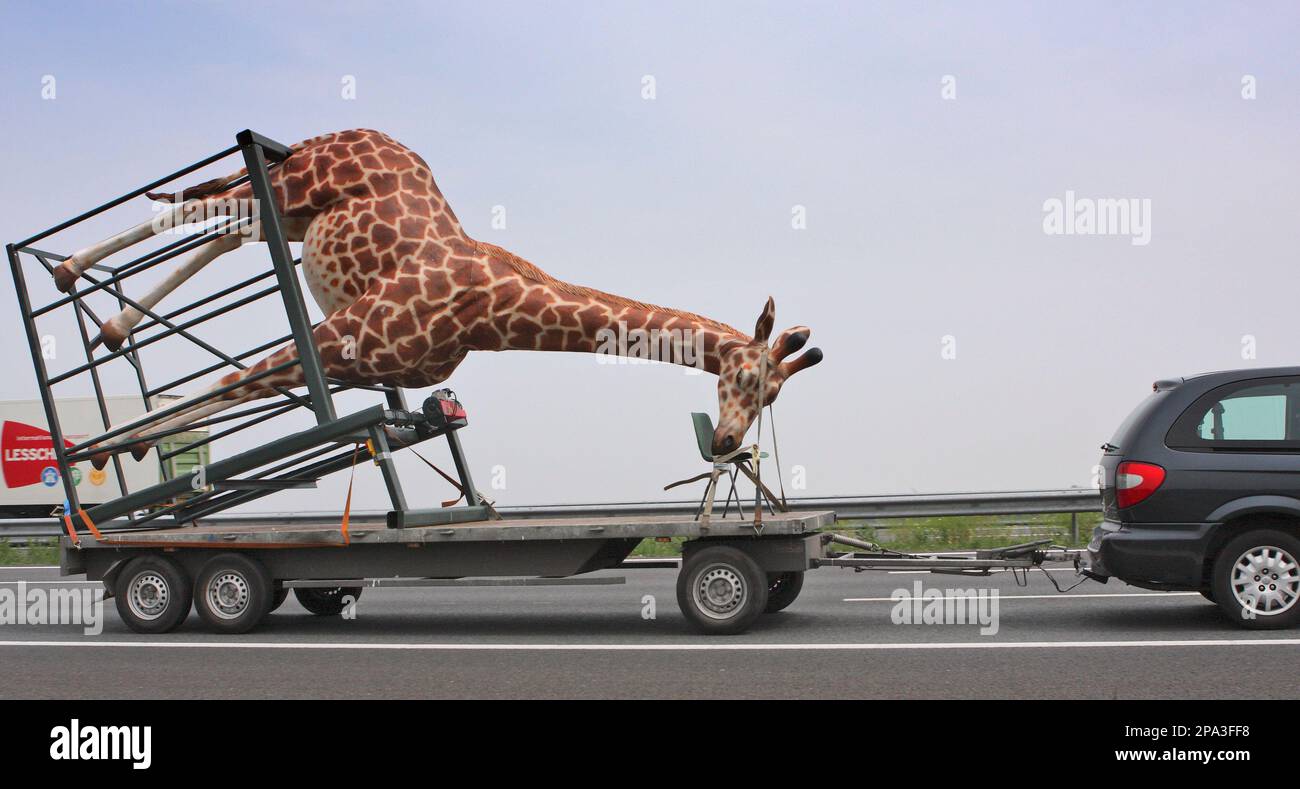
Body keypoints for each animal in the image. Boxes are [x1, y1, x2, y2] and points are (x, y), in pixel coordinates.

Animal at [50, 129, 823, 469]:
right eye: (749, 379)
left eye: (773, 397)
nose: (725, 443)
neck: (490, 314)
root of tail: (329, 133)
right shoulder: (346, 336)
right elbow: (231, 382)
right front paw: (102, 447)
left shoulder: (357, 357)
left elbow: (247, 385)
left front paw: (123, 442)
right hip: (296, 185)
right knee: (203, 209)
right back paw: (67, 271)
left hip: (298, 213)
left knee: (232, 229)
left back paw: (112, 326)